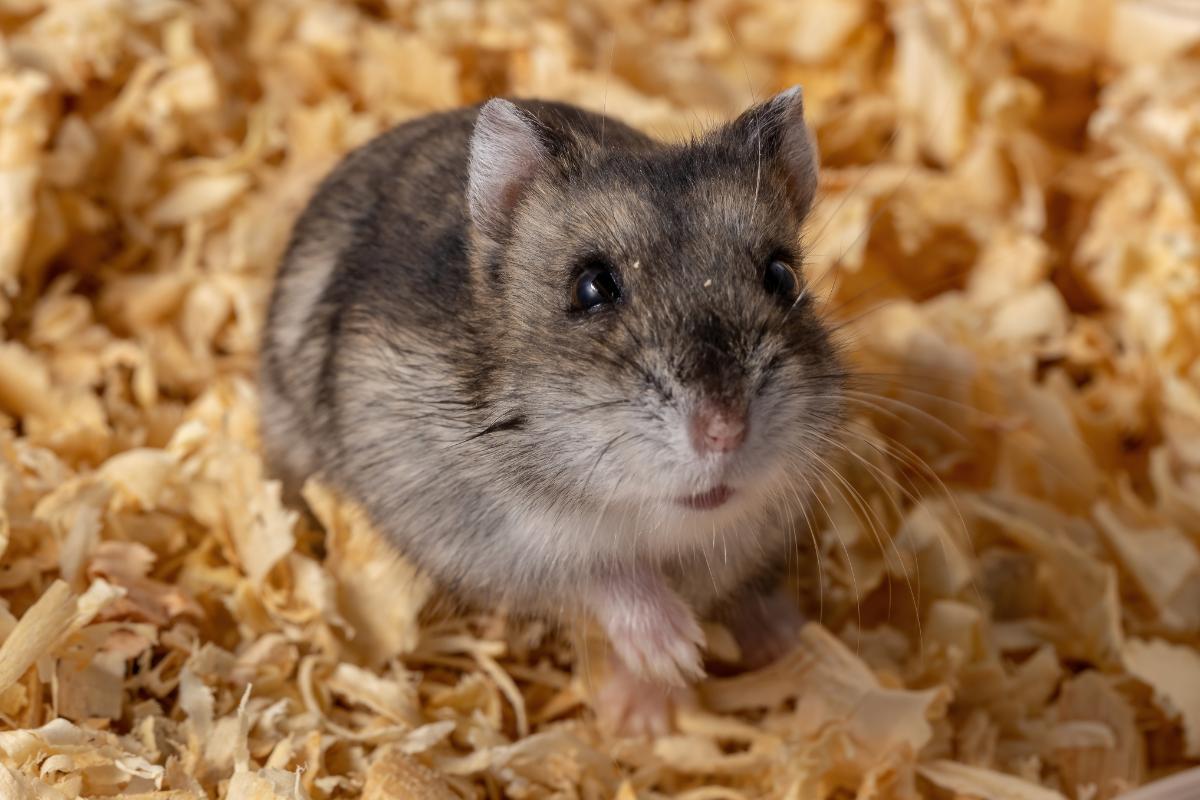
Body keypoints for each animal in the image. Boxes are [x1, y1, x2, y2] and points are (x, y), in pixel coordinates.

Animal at [259, 88, 847, 734]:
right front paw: (666, 672)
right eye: (591, 287)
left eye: (781, 275)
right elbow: (600, 573)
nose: (724, 431)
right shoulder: (492, 536)